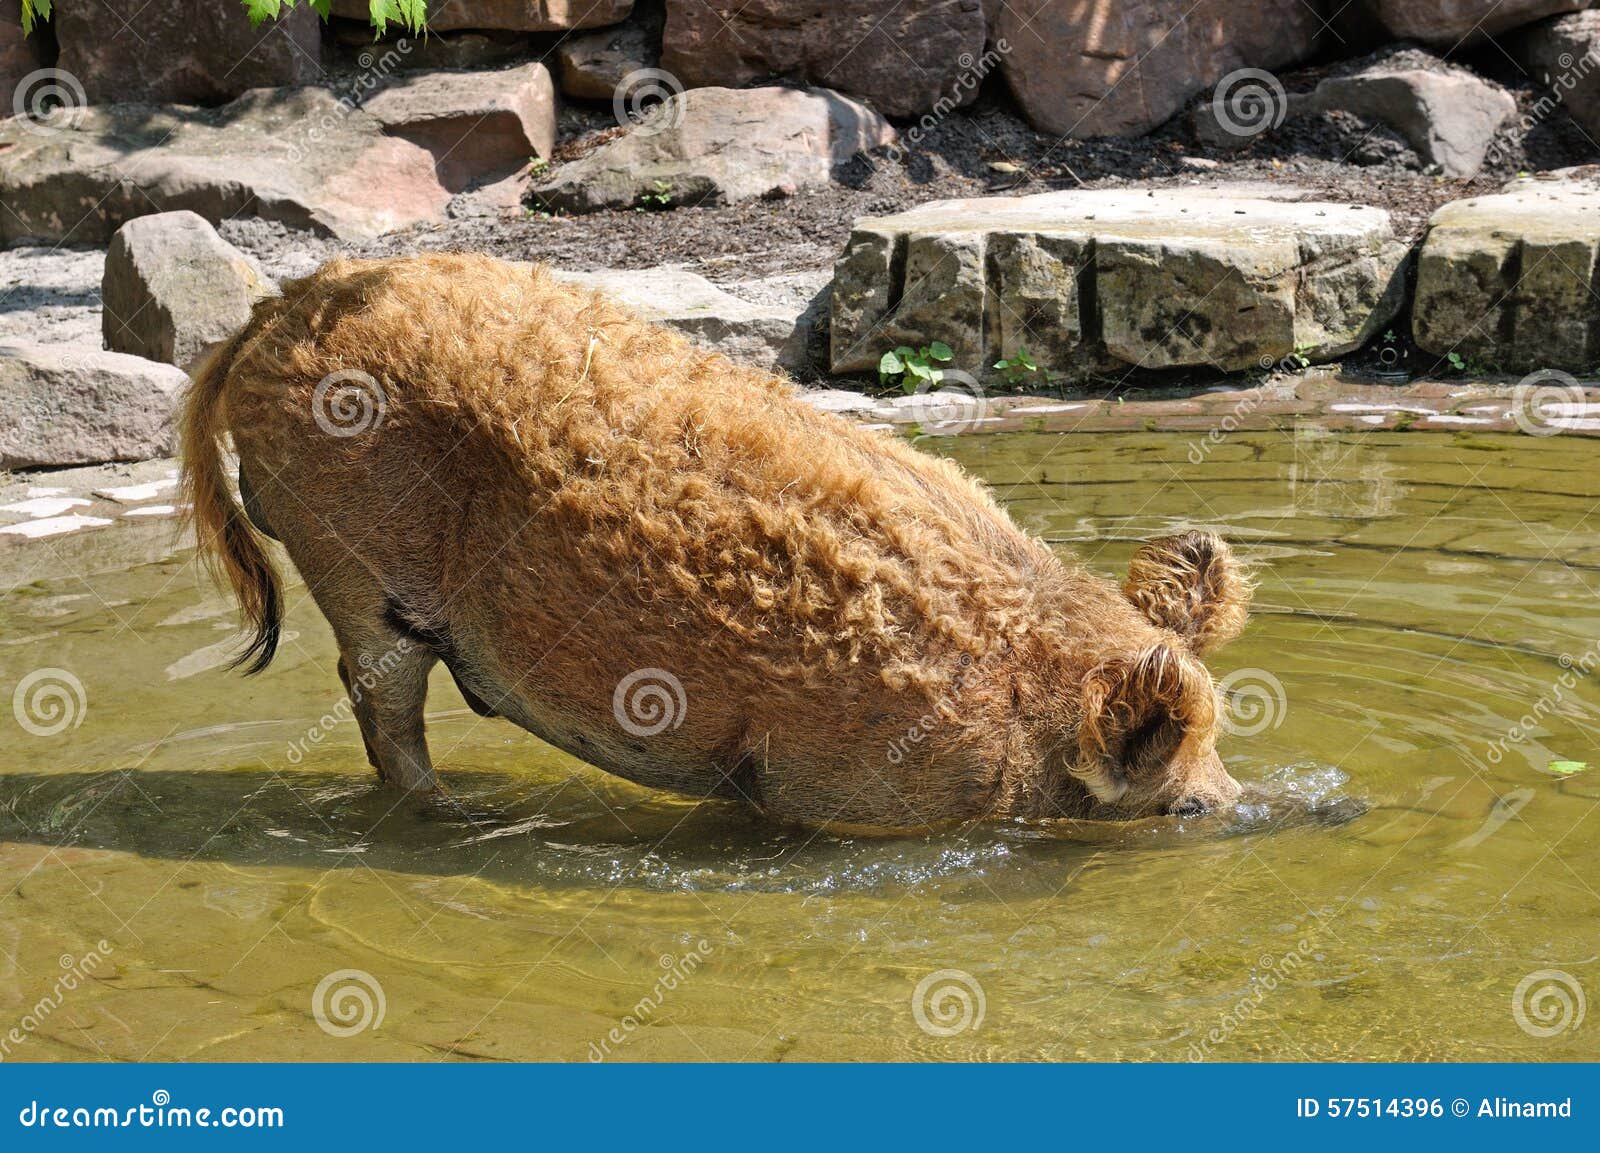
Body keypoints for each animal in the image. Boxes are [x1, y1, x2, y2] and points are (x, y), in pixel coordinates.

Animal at [181, 253, 1251, 830]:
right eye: (1184, 801)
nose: (1252, 805)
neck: (1026, 700)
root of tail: (269, 313)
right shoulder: (835, 786)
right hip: (353, 564)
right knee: (380, 704)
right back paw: (455, 815)